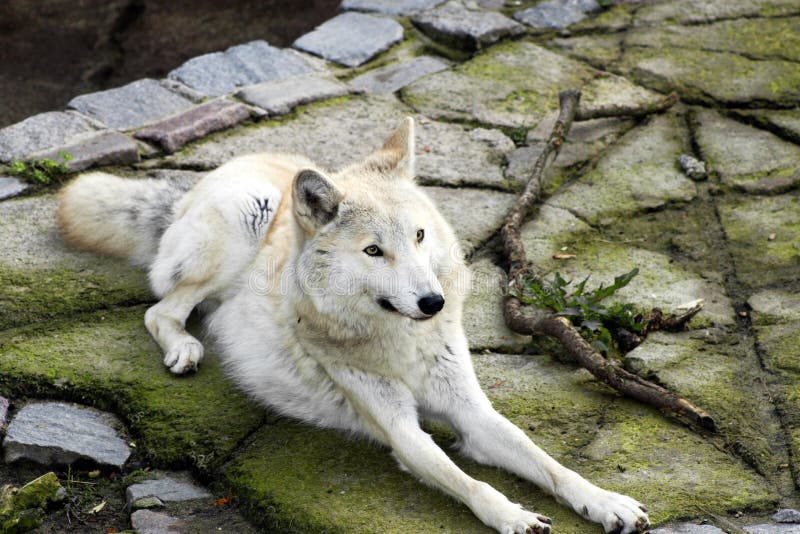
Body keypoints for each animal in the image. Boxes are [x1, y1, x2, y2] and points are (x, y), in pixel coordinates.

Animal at [57, 118, 649, 534]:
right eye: (373, 251)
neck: (402, 344)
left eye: (418, 236)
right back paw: (184, 349)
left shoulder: (472, 414)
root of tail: (198, 182)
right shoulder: (403, 432)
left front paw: (605, 502)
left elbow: (550, 464)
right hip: (246, 221)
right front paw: (513, 515)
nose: (433, 302)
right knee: (161, 310)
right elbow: (470, 483)